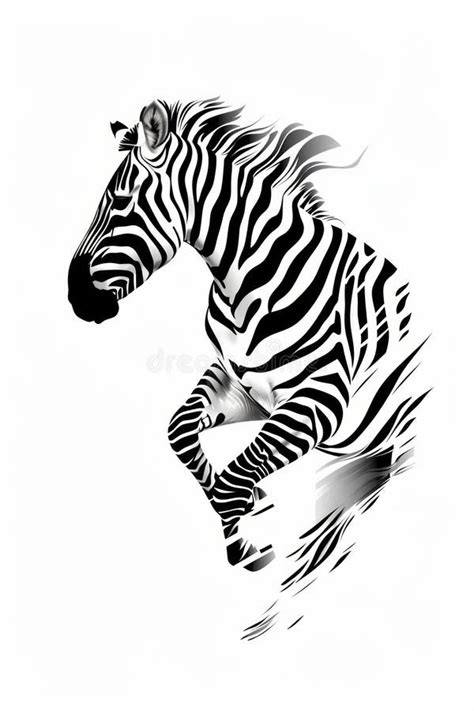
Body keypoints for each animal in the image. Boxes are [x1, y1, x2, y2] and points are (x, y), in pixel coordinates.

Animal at [68, 97, 428, 579]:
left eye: (120, 203)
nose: (74, 296)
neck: (251, 287)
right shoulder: (243, 385)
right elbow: (181, 432)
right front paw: (248, 505)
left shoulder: (320, 402)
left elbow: (233, 480)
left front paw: (245, 541)